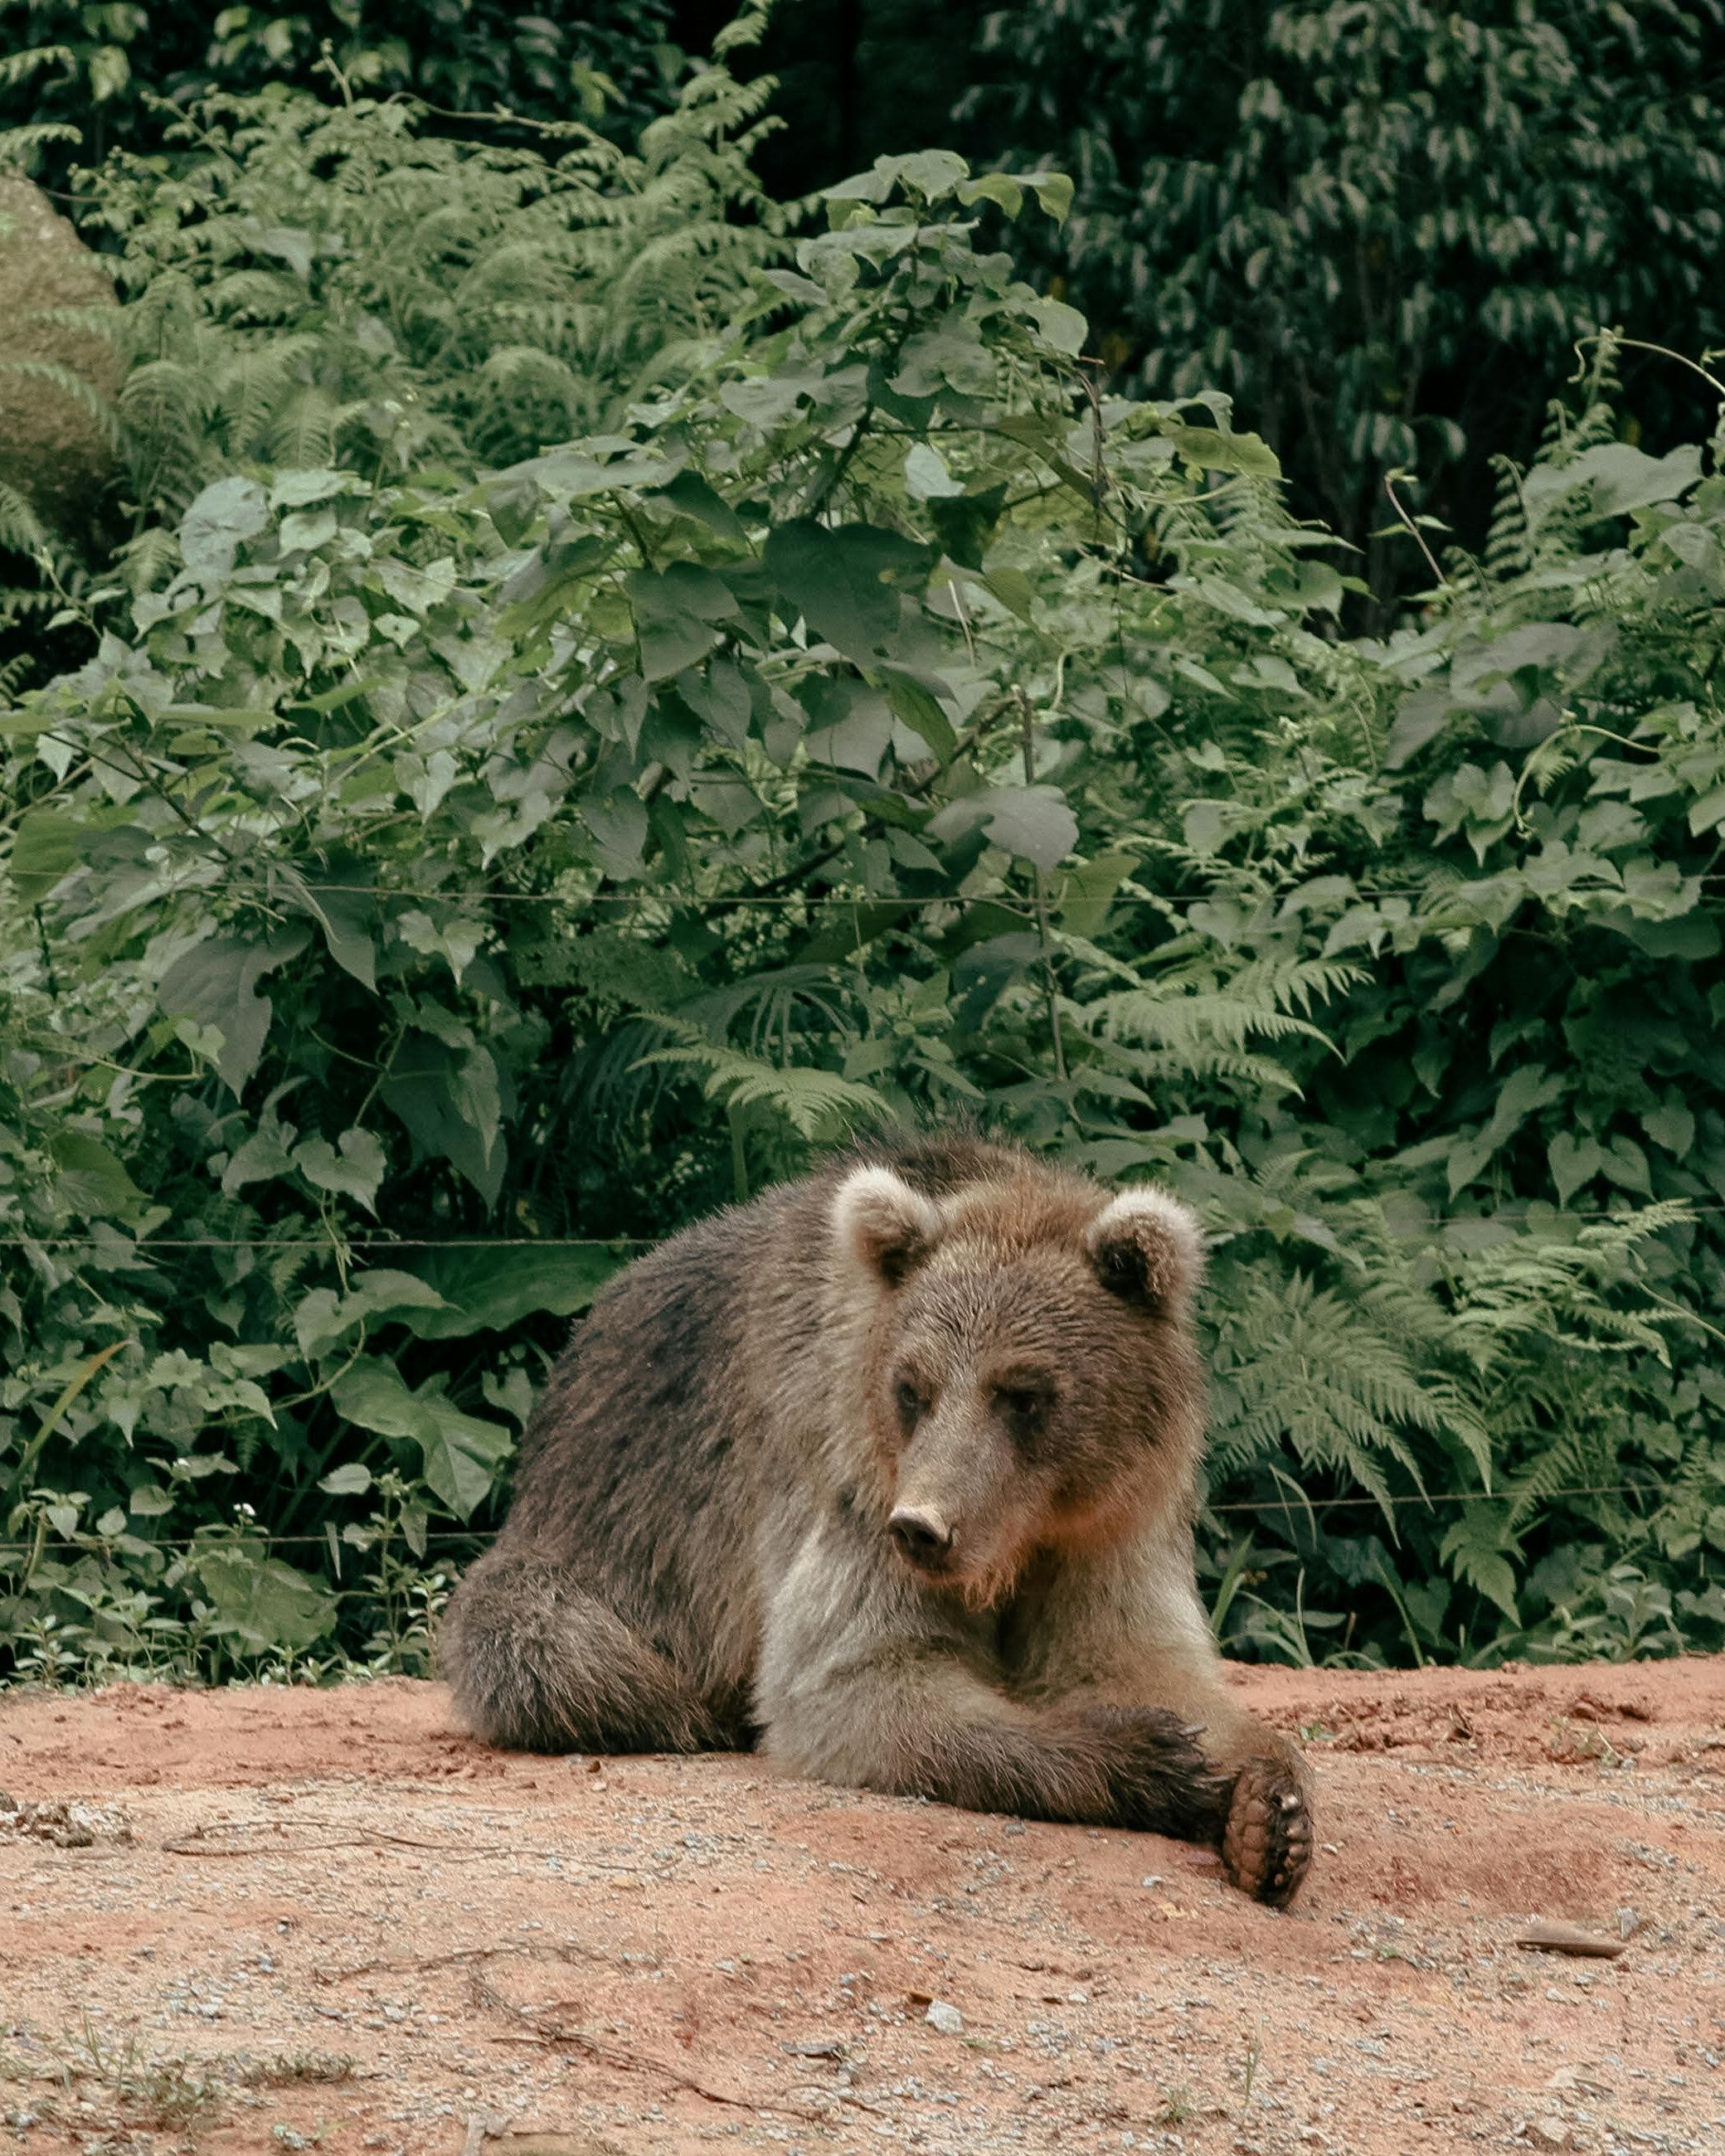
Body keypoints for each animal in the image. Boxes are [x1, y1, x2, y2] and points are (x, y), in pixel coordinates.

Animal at [440, 1131, 1313, 1905]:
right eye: (912, 1388)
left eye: (1023, 1394)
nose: (923, 1527)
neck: (1022, 1538)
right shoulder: (845, 1481)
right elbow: (859, 1680)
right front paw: (1150, 1757)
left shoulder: (1107, 1526)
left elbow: (1133, 1660)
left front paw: (1268, 1812)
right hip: (588, 1545)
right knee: (560, 1652)